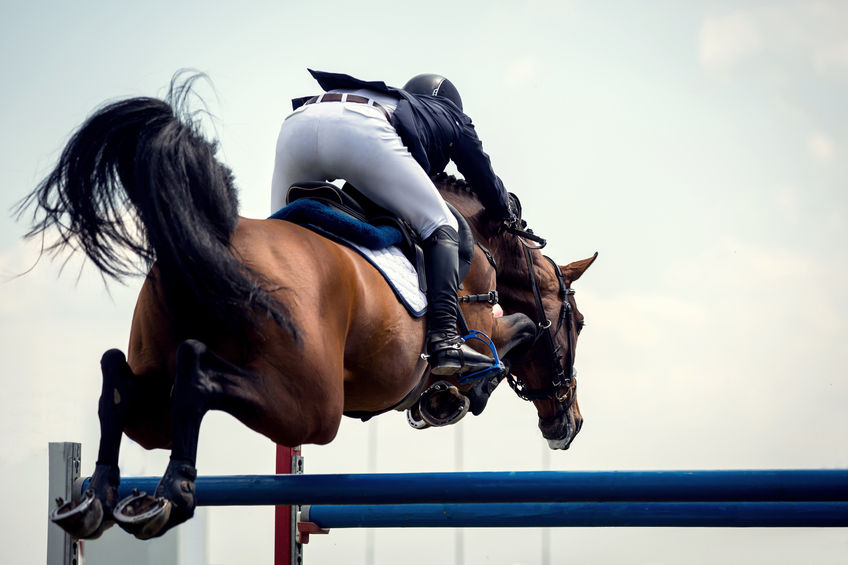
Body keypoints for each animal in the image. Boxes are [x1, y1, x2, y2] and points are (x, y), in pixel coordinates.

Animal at [19, 78, 596, 541]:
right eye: (578, 323)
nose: (569, 425)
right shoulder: (479, 321)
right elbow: (515, 334)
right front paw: (450, 397)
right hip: (311, 406)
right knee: (196, 374)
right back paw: (171, 495)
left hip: (162, 399)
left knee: (121, 383)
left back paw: (97, 501)